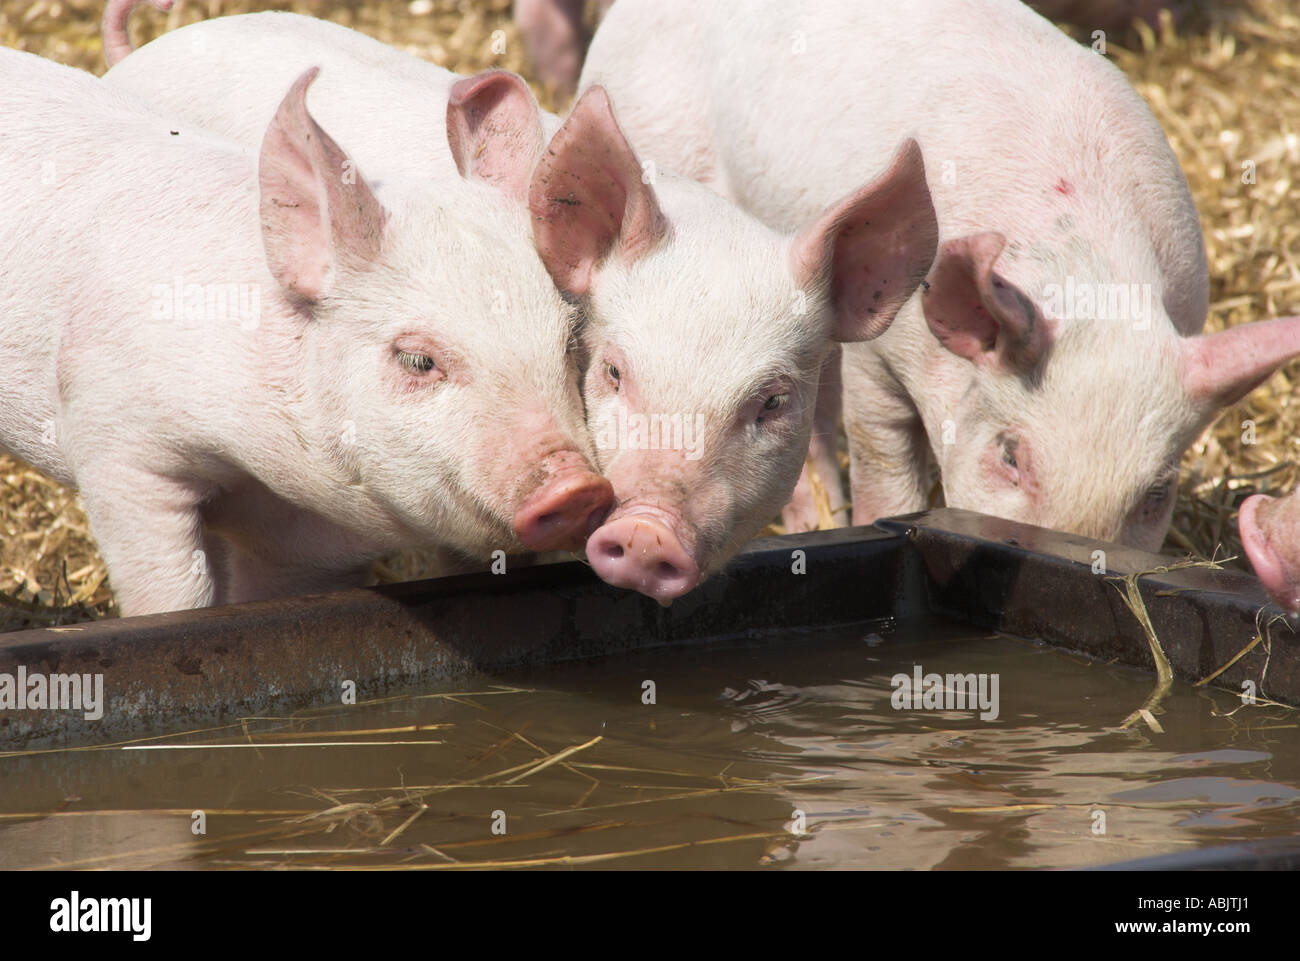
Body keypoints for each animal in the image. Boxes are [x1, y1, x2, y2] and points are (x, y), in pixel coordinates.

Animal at [0, 47, 612, 616]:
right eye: (417, 360)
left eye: (567, 343)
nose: (579, 487)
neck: (258, 475)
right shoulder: (118, 443)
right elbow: (172, 596)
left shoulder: (312, 548)